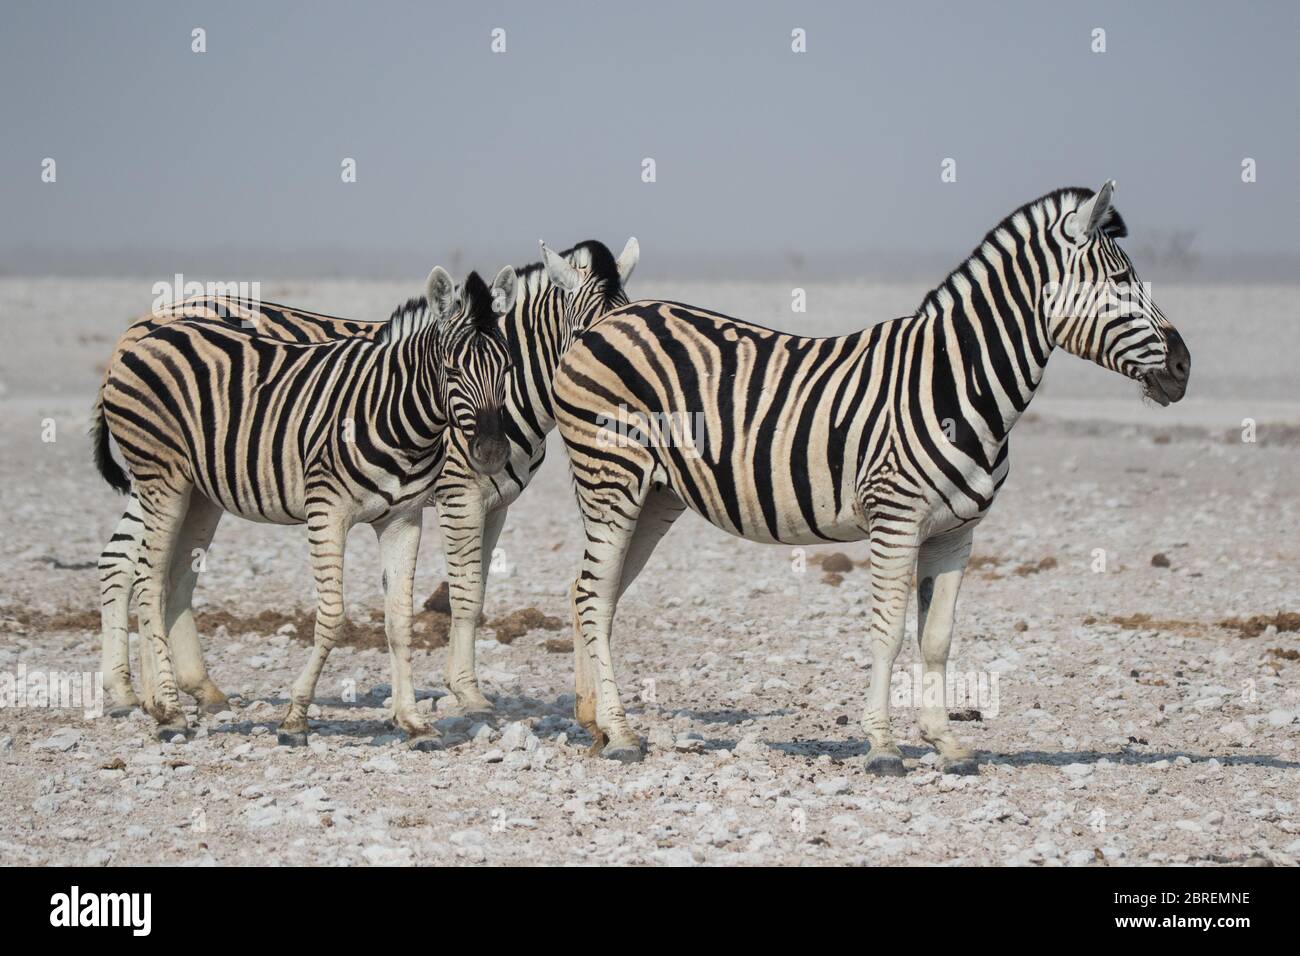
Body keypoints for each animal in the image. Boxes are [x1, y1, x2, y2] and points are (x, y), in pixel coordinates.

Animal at [96, 238, 638, 721]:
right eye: (589, 334)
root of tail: (145, 322)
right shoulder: (460, 493)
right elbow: (465, 594)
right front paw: (467, 692)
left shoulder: (496, 502)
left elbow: (476, 590)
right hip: (166, 477)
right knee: (132, 564)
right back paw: (139, 694)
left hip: (201, 487)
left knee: (152, 568)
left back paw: (172, 690)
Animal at [552, 182, 1190, 772]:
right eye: (1121, 280)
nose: (1185, 366)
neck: (956, 381)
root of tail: (610, 316)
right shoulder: (896, 518)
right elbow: (888, 631)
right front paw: (883, 746)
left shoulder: (956, 533)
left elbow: (937, 638)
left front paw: (946, 743)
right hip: (611, 479)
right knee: (592, 595)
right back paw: (622, 735)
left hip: (655, 496)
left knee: (594, 593)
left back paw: (596, 723)